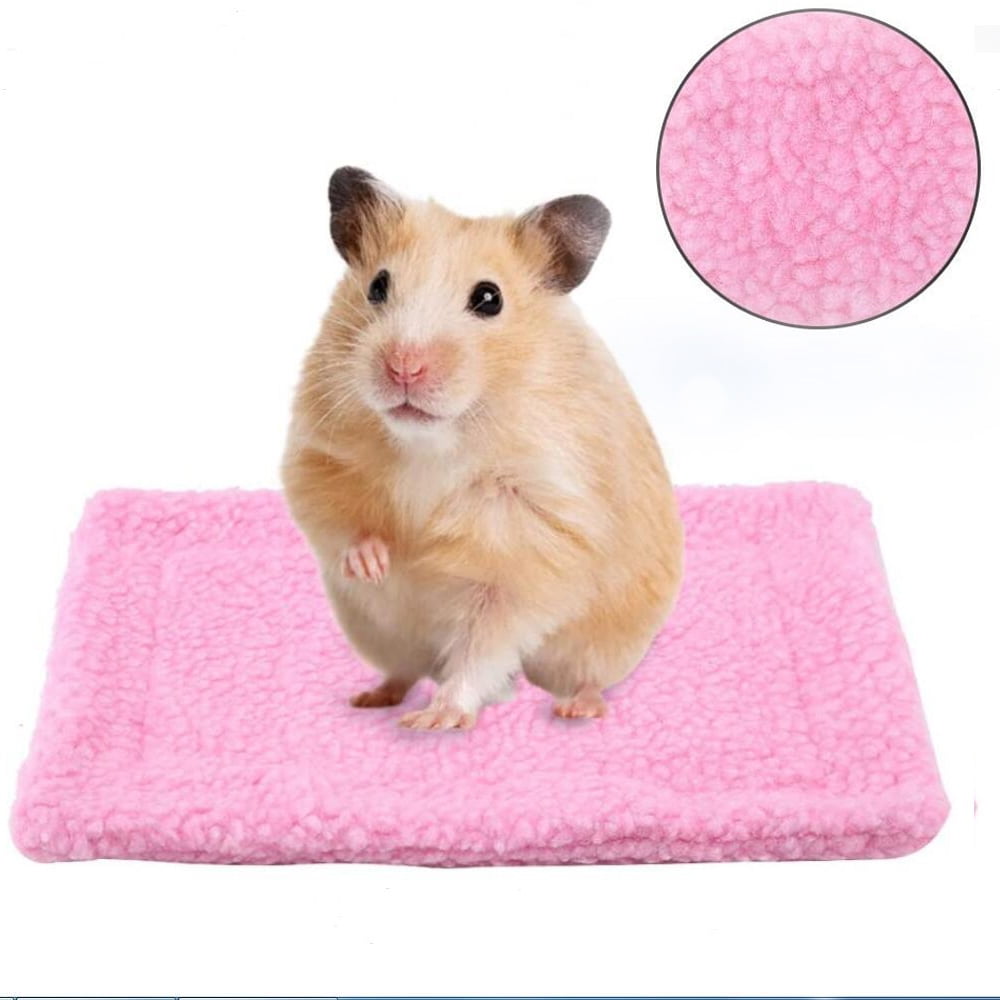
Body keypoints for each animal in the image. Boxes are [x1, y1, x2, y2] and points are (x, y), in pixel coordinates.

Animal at [281, 167, 683, 730]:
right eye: (378, 285)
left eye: (489, 298)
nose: (403, 367)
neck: (434, 440)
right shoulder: (316, 453)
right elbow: (335, 518)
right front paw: (375, 563)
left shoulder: (532, 542)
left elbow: (483, 643)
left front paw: (437, 720)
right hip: (379, 633)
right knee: (406, 671)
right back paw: (372, 697)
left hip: (605, 642)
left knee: (580, 676)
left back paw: (576, 709)